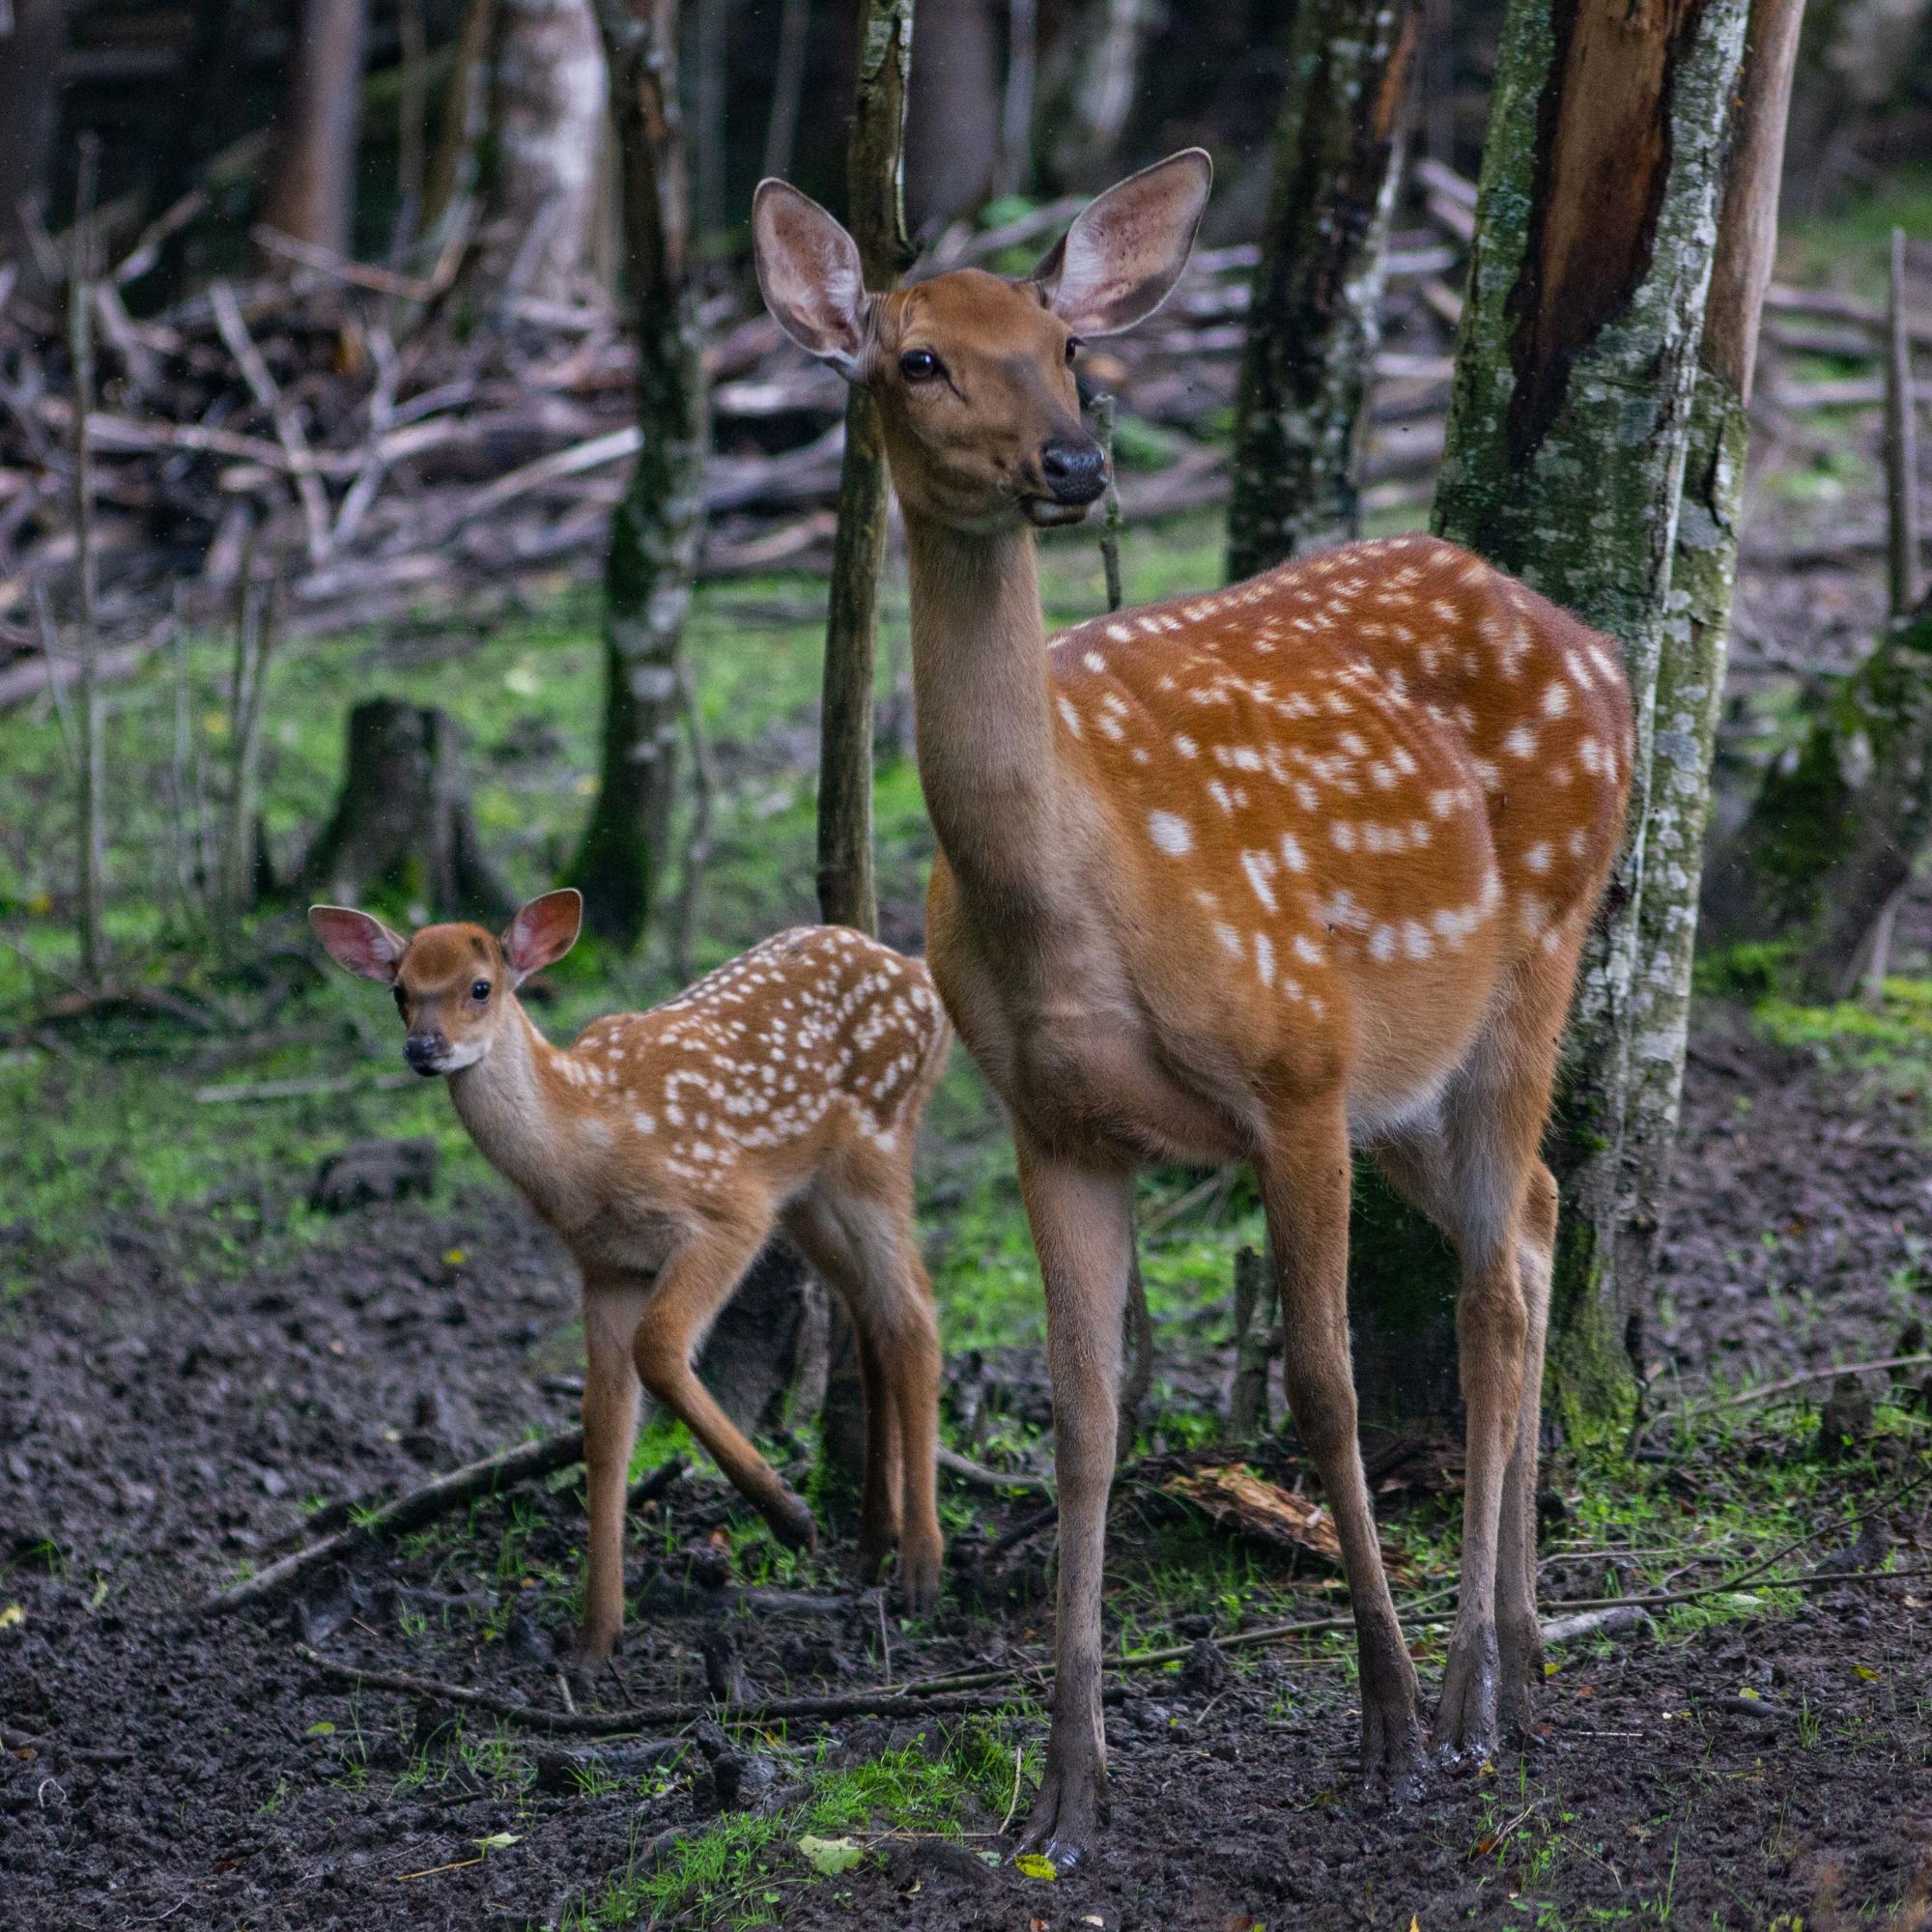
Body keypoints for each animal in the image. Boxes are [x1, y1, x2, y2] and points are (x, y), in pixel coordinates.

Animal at [309, 889, 958, 1662]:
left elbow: (660, 1349)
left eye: (480, 987)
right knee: (871, 1315)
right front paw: (595, 1636)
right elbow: (605, 1422)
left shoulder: (728, 1213)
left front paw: (788, 1515)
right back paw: (872, 1544)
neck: (591, 1145)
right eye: (400, 992)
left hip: (877, 1142)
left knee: (914, 1316)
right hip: (809, 1193)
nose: (422, 1048)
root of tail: (920, 973)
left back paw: (921, 1568)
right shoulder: (606, 1269)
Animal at [753, 151, 1631, 1855]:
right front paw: (1067, 1792)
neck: (1071, 906)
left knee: (1493, 1284)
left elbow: (1327, 1390)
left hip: (1537, 956)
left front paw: (1386, 1728)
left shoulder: (1294, 1070)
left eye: (1064, 343)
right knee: (1538, 1220)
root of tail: (1609, 655)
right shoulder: (1056, 1125)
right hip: (1409, 1074)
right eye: (918, 358)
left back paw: (1474, 1700)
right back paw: (1527, 1660)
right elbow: (1089, 1426)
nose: (1074, 461)